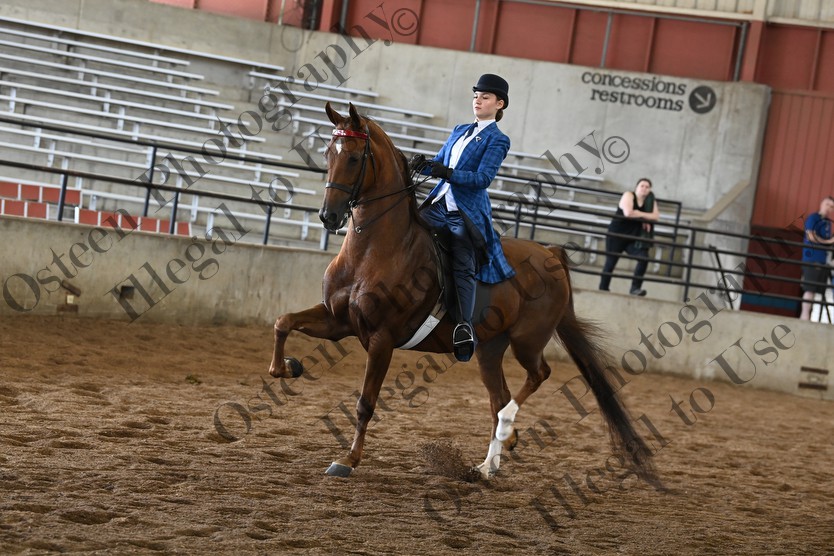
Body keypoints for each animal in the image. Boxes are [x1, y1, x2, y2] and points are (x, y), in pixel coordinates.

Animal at [268, 102, 659, 486]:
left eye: (352, 158)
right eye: (328, 153)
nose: (328, 216)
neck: (373, 250)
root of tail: (549, 252)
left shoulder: (381, 338)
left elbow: (365, 402)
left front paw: (347, 460)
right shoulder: (339, 321)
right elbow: (283, 322)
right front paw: (288, 367)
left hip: (527, 340)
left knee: (537, 376)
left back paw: (507, 429)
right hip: (490, 348)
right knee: (498, 396)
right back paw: (489, 463)